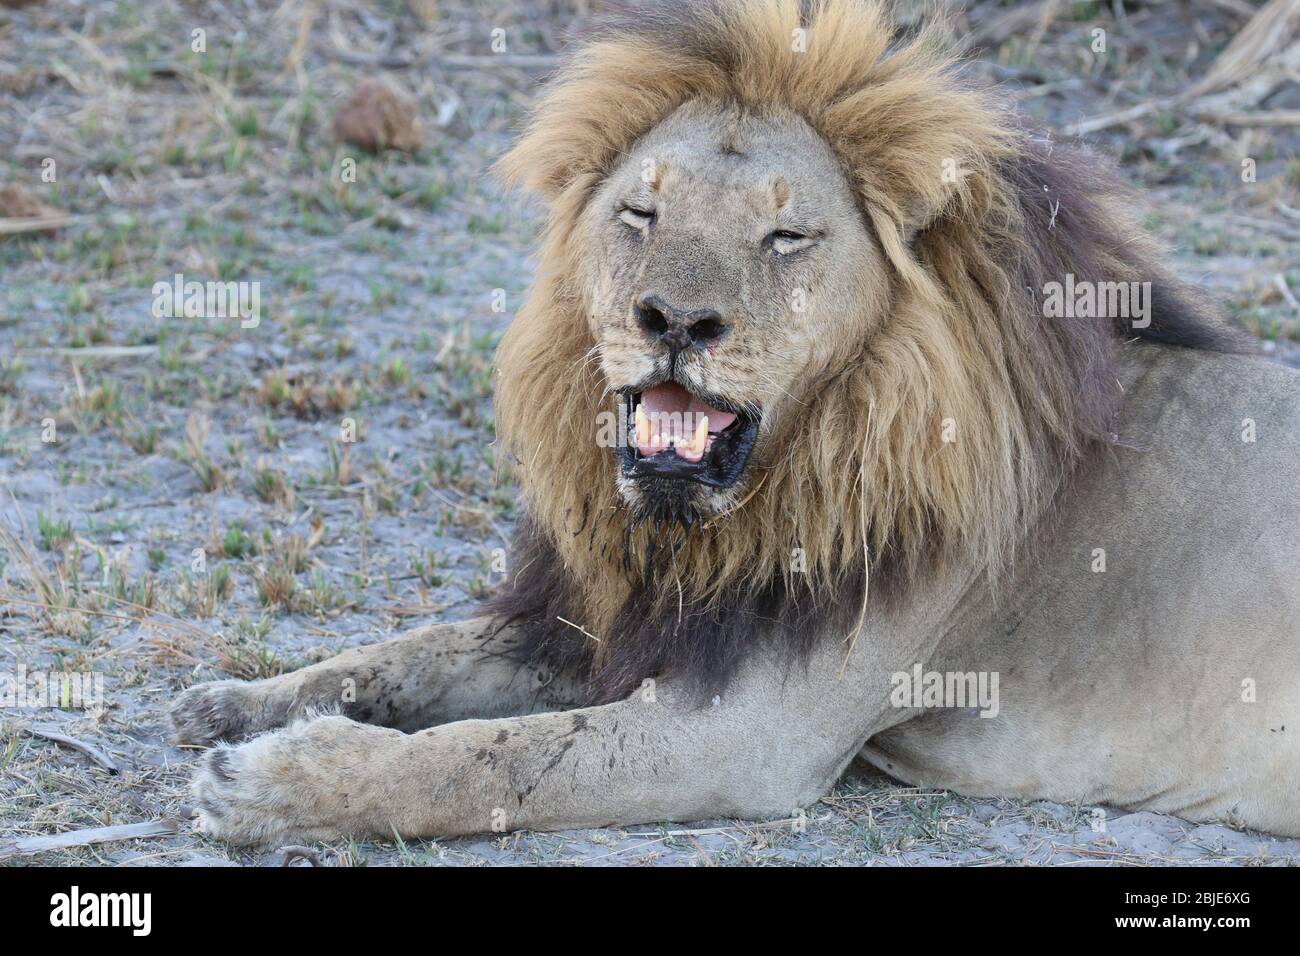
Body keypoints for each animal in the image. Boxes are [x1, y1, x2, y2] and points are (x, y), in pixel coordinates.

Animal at [171, 0, 1300, 845]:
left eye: (785, 235)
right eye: (641, 213)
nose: (675, 320)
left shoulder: (752, 733)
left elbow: (496, 760)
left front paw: (278, 784)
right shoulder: (622, 616)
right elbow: (418, 650)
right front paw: (243, 699)